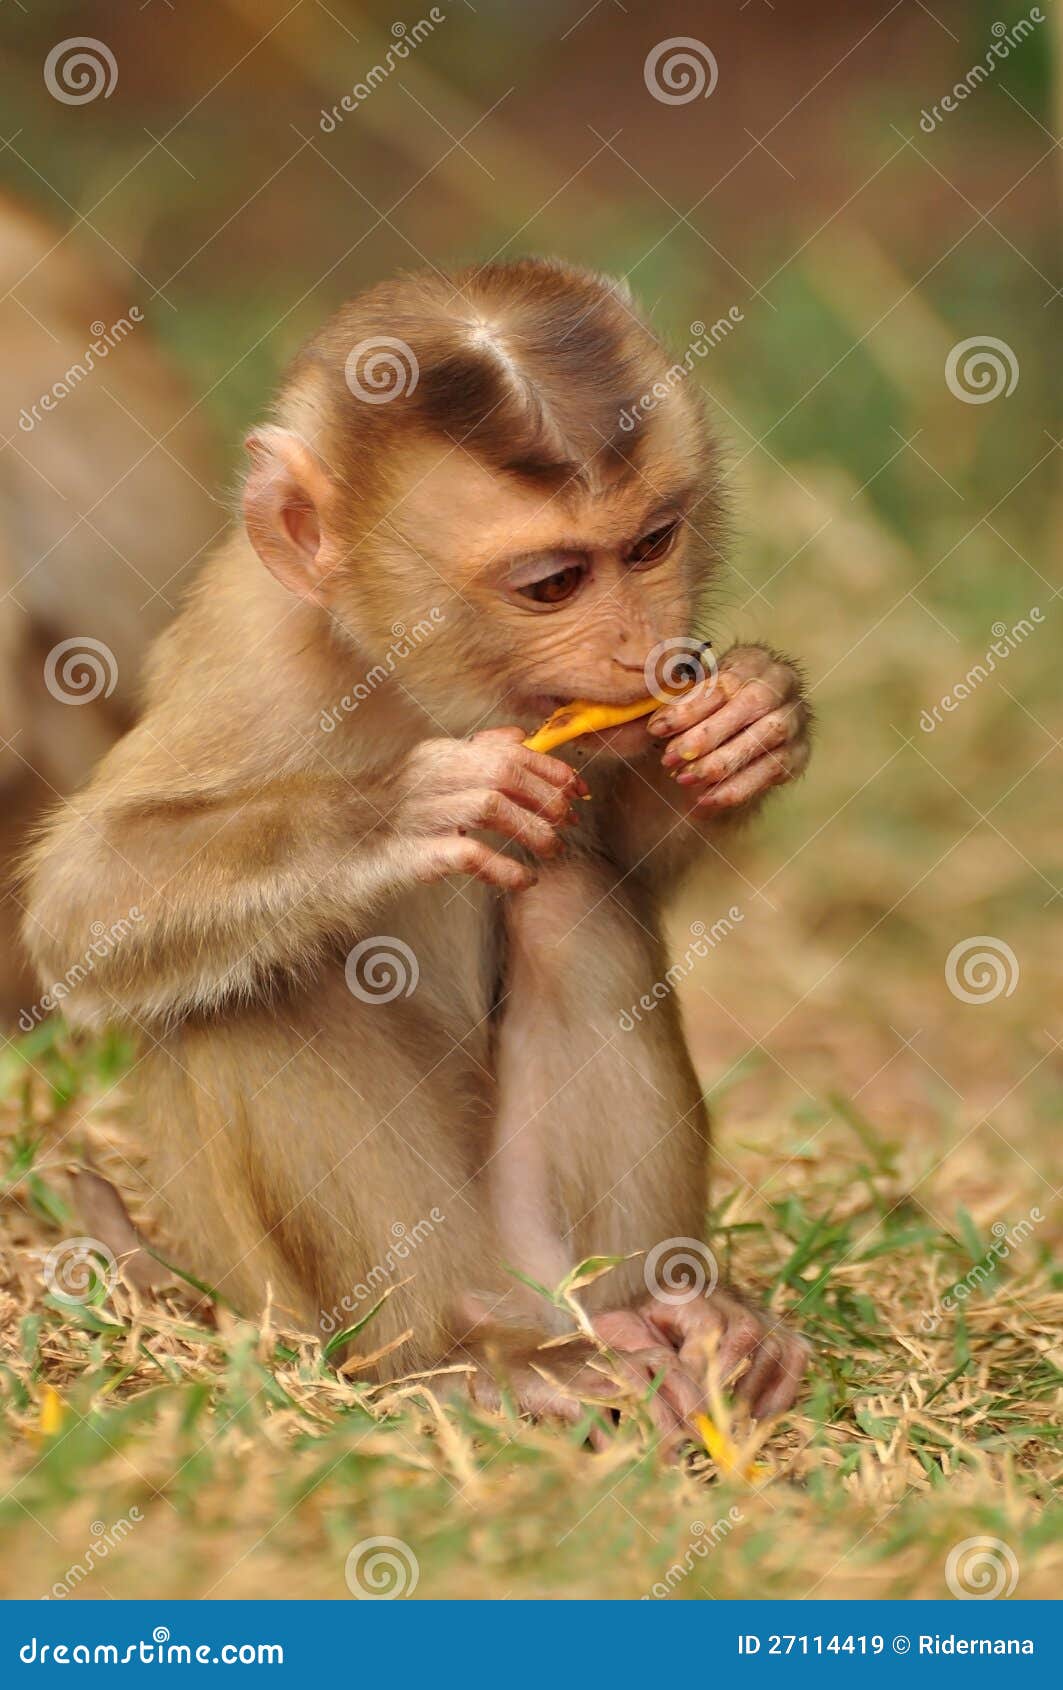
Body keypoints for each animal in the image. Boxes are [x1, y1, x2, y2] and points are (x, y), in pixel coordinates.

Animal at [21, 257, 812, 1441]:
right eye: (553, 584)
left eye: (651, 544)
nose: (650, 652)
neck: (406, 681)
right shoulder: (256, 660)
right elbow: (82, 905)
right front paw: (413, 809)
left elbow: (625, 855)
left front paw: (751, 722)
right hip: (295, 1294)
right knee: (262, 980)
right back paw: (465, 1358)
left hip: (532, 1235)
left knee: (569, 899)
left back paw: (672, 1315)